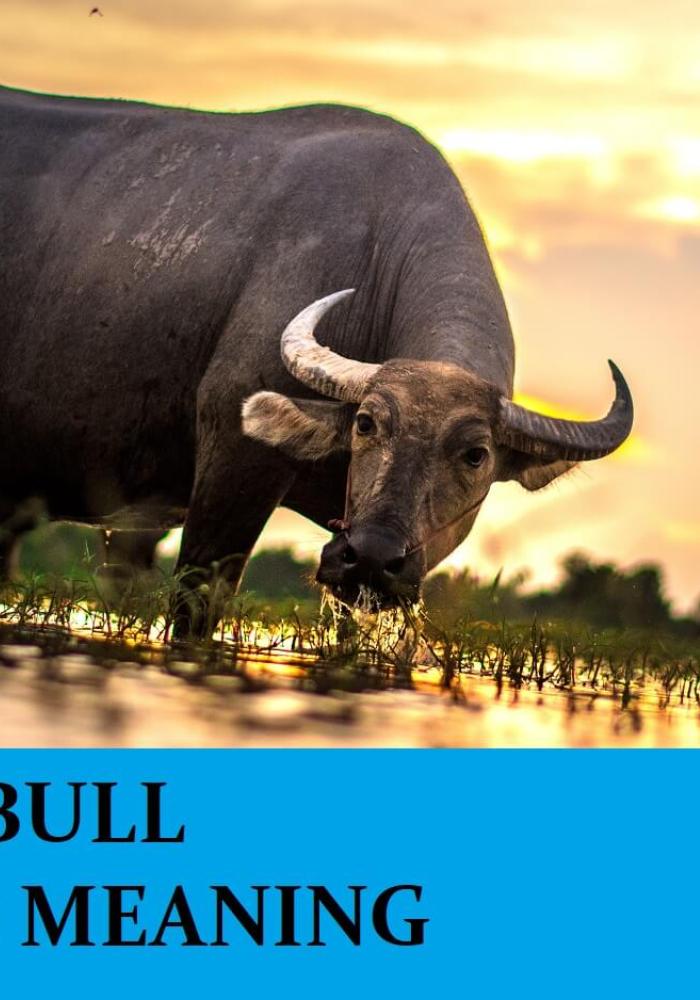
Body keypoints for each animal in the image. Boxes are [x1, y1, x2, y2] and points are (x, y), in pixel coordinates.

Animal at [0, 85, 633, 634]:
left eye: (475, 454)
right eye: (366, 423)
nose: (372, 557)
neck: (377, 256)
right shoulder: (233, 460)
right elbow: (195, 605)